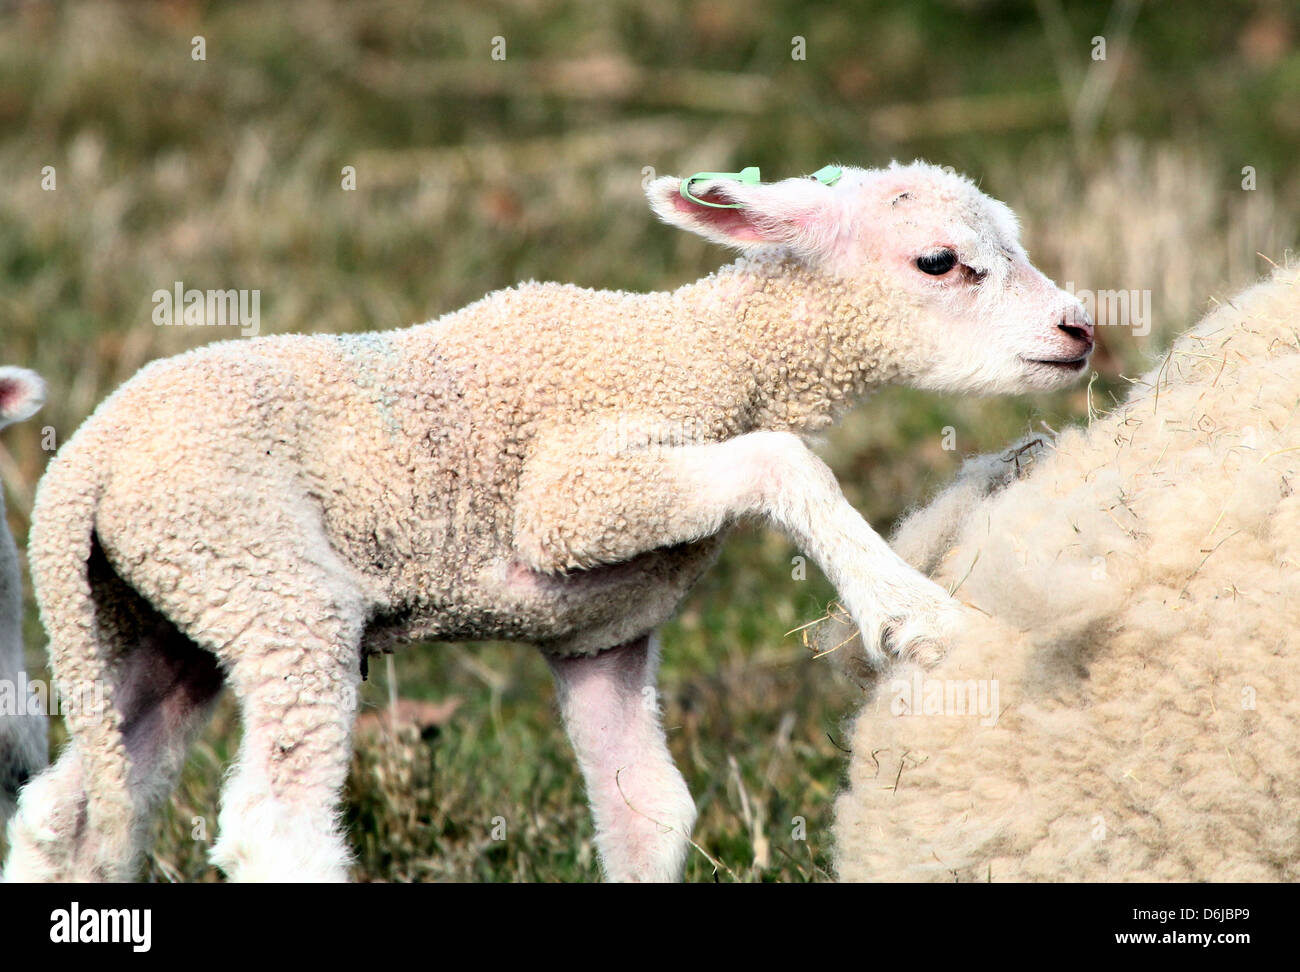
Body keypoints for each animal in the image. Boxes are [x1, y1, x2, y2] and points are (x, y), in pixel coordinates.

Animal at [5, 161, 1094, 883]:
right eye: (939, 262)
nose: (1081, 330)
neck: (706, 355)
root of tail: (81, 470)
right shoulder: (570, 499)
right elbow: (781, 460)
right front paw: (913, 617)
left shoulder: (600, 636)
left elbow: (646, 810)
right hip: (261, 573)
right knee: (274, 826)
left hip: (160, 616)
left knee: (68, 808)